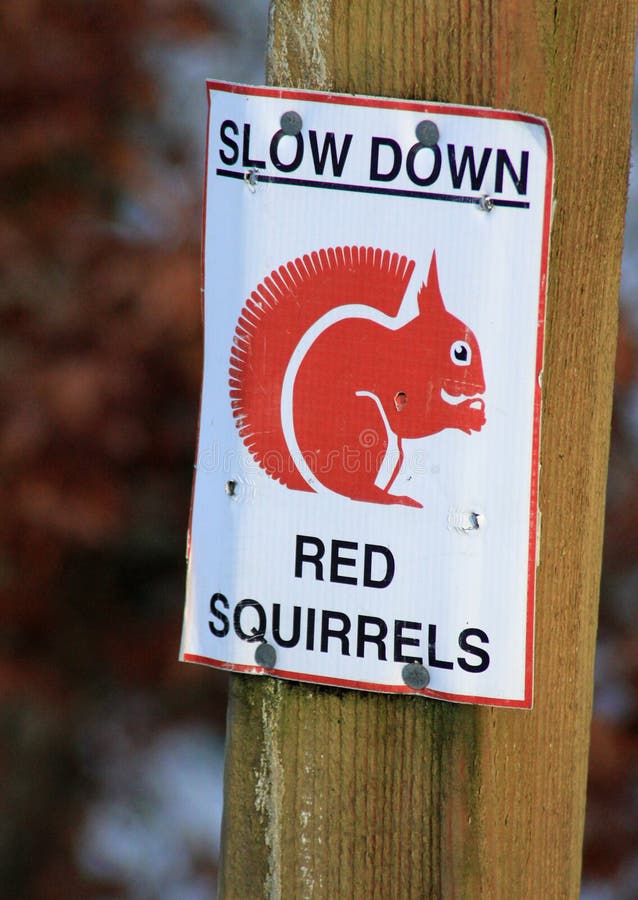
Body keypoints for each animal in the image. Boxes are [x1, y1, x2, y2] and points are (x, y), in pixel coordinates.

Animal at [229, 245, 485, 508]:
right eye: (460, 352)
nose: (480, 388)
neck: (412, 349)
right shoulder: (394, 377)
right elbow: (409, 420)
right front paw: (466, 415)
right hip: (367, 423)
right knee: (360, 491)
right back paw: (392, 497)